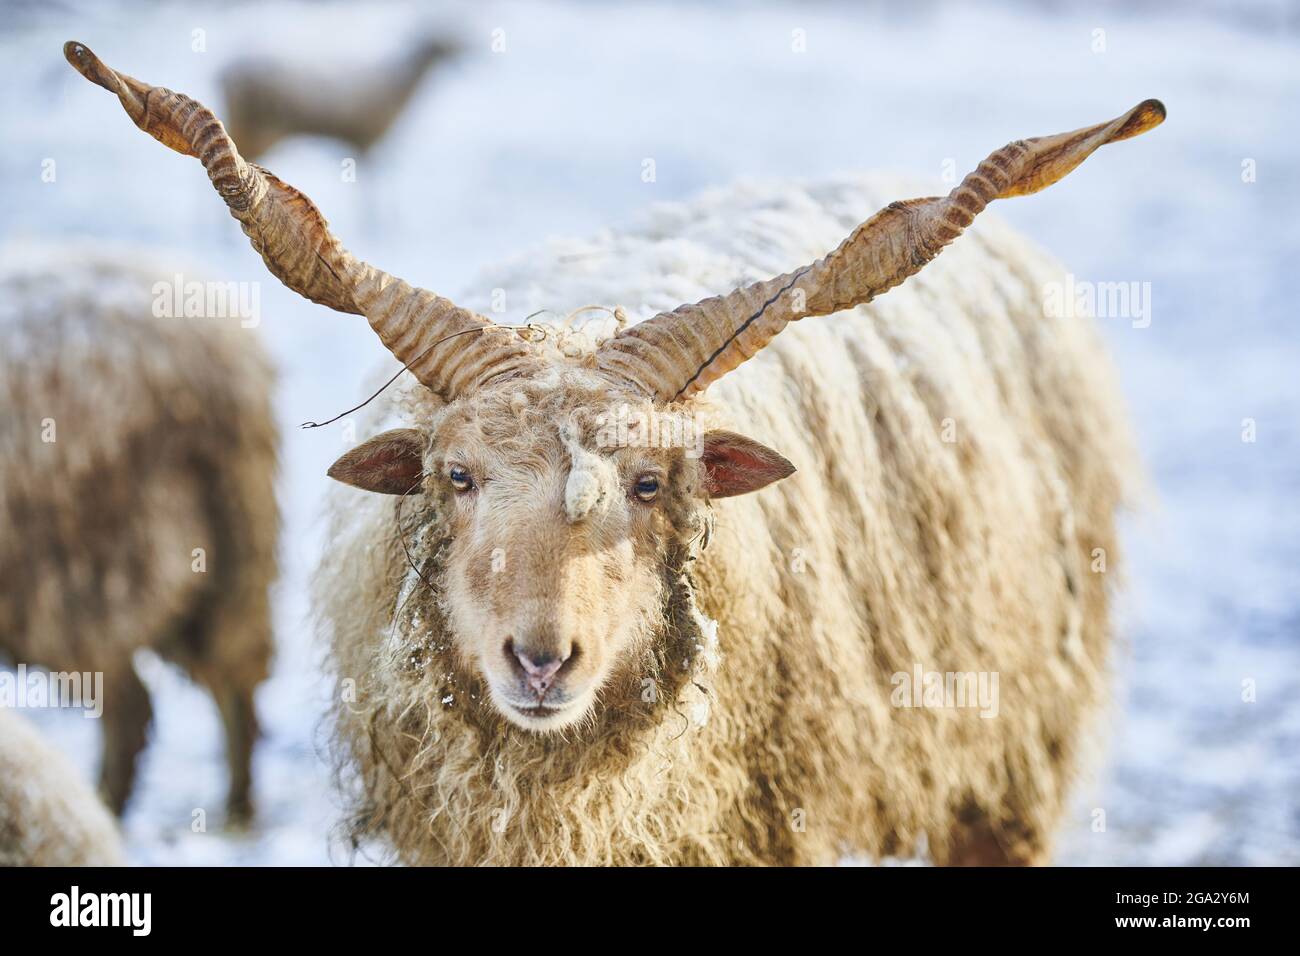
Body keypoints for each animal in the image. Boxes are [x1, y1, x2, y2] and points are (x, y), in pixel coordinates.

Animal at [0, 240, 279, 823]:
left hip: (87, 566)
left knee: (128, 707)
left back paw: (104, 809)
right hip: (230, 549)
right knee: (233, 672)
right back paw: (236, 805)